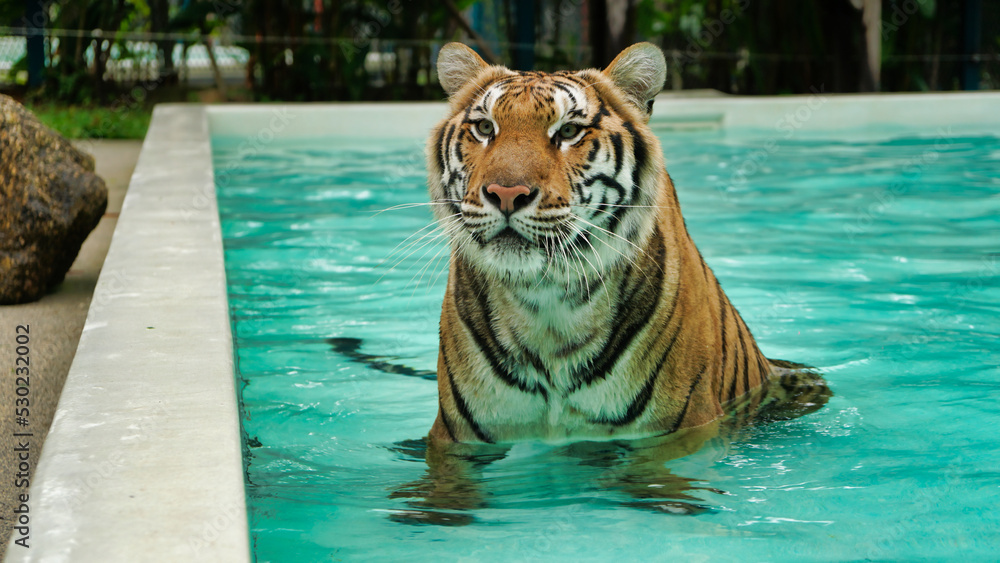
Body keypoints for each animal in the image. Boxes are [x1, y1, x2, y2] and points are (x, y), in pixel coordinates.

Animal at [424, 42, 829, 448]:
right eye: (484, 128)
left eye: (568, 131)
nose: (506, 194)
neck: (546, 303)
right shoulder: (455, 438)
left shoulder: (678, 431)